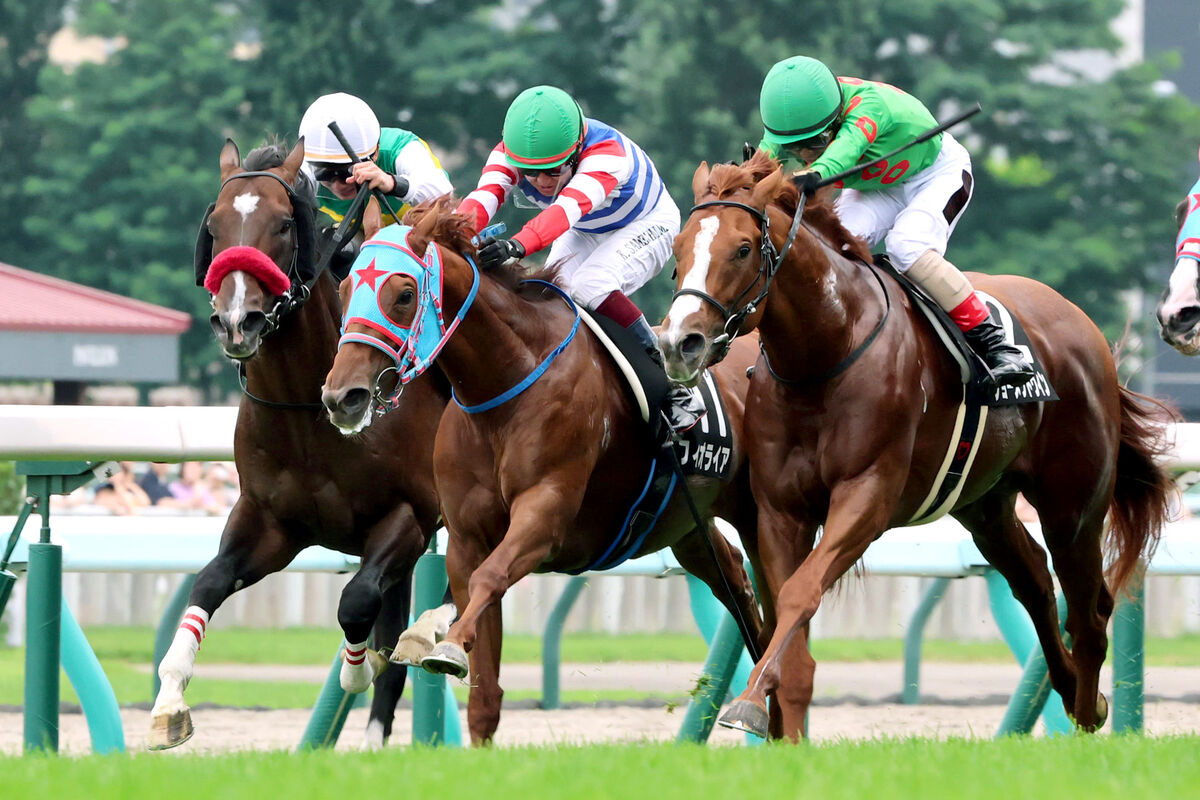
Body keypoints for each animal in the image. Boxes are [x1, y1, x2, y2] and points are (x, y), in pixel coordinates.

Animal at [148, 139, 448, 750]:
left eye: (284, 224)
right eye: (214, 226)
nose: (236, 321)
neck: (308, 413)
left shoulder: (407, 517)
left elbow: (357, 602)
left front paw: (355, 670)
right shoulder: (271, 523)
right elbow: (208, 581)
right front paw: (169, 702)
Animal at [321, 197, 765, 745]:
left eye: (403, 294)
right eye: (344, 289)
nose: (342, 396)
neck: (505, 385)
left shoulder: (545, 513)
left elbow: (491, 577)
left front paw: (447, 645)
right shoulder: (466, 537)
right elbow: (483, 686)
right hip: (687, 526)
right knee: (736, 581)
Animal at [657, 152, 1174, 740]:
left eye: (742, 248)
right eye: (678, 249)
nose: (678, 342)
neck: (825, 353)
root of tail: (1083, 325)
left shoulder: (867, 496)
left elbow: (799, 593)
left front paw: (746, 703)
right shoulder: (780, 511)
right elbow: (788, 623)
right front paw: (781, 729)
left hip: (1074, 504)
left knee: (1088, 612)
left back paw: (1087, 717)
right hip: (985, 505)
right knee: (1036, 582)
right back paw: (1072, 693)